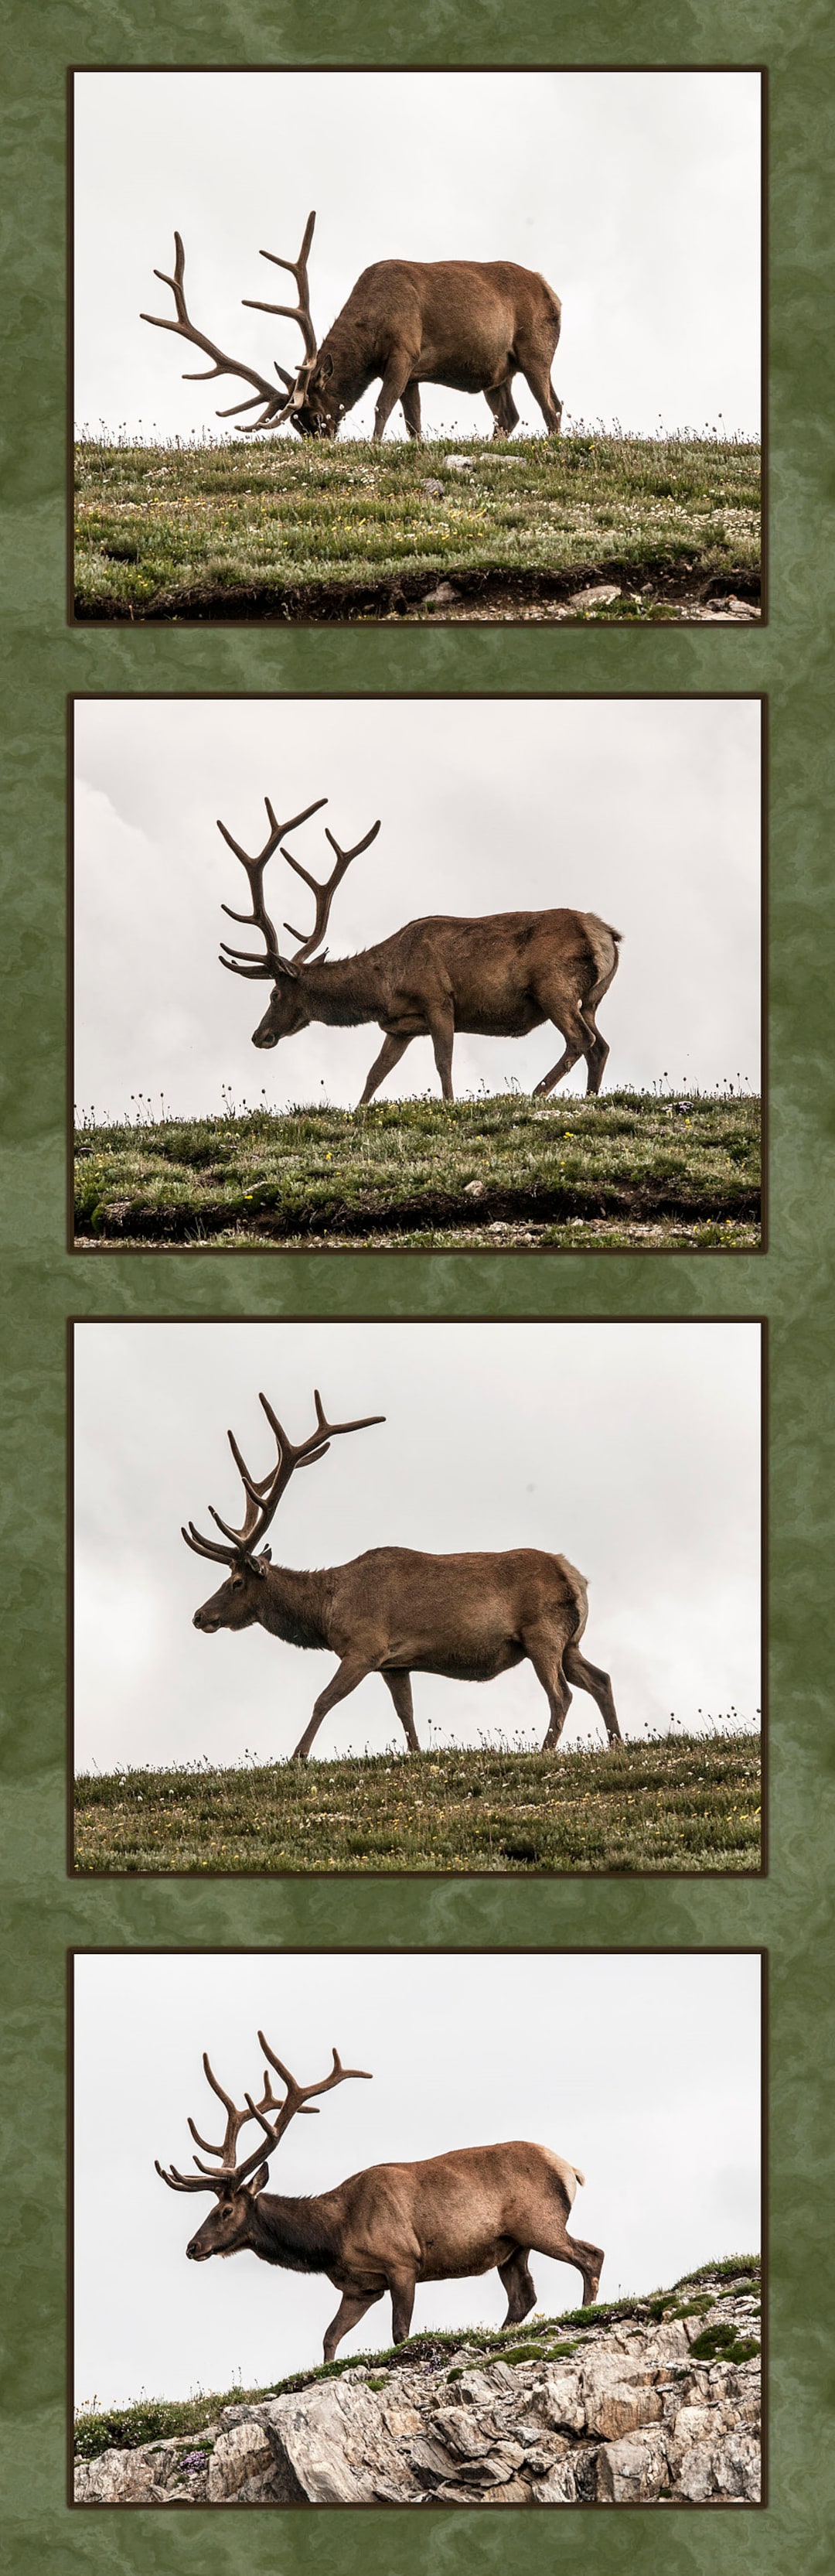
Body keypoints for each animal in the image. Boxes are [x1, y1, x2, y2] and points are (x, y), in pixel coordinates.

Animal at [142, 210, 563, 441]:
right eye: (297, 427)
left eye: (315, 415)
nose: (322, 447)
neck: (371, 336)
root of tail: (552, 293)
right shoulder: (414, 373)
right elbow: (413, 423)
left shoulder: (405, 351)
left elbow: (381, 407)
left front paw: (375, 446)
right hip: (498, 372)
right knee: (509, 415)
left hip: (536, 350)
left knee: (552, 406)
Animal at [156, 2032, 605, 2358]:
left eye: (226, 2210)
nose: (193, 2247)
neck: (333, 2237)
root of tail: (570, 2170)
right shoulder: (361, 2288)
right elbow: (329, 2337)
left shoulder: (403, 2261)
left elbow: (400, 2332)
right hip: (512, 2247)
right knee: (523, 2297)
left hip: (538, 2223)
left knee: (590, 2255)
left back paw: (586, 2311)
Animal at [182, 1386, 622, 1761]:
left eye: (236, 1582)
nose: (200, 1616)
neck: (328, 1612)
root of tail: (575, 1576)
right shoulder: (396, 1664)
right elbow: (406, 1714)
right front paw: (415, 1756)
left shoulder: (365, 1646)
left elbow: (323, 1699)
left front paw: (297, 1758)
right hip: (569, 1640)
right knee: (601, 1679)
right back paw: (618, 1743)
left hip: (541, 1632)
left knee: (561, 1695)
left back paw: (544, 1751)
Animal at [214, 793, 621, 1104]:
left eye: (275, 994)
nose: (259, 1036)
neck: (386, 987)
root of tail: (606, 935)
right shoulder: (399, 1027)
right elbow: (375, 1074)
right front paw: (359, 1110)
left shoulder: (438, 999)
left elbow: (443, 1062)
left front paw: (450, 1104)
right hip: (592, 998)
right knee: (600, 1046)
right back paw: (591, 1099)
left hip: (554, 985)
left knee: (580, 1039)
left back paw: (537, 1094)